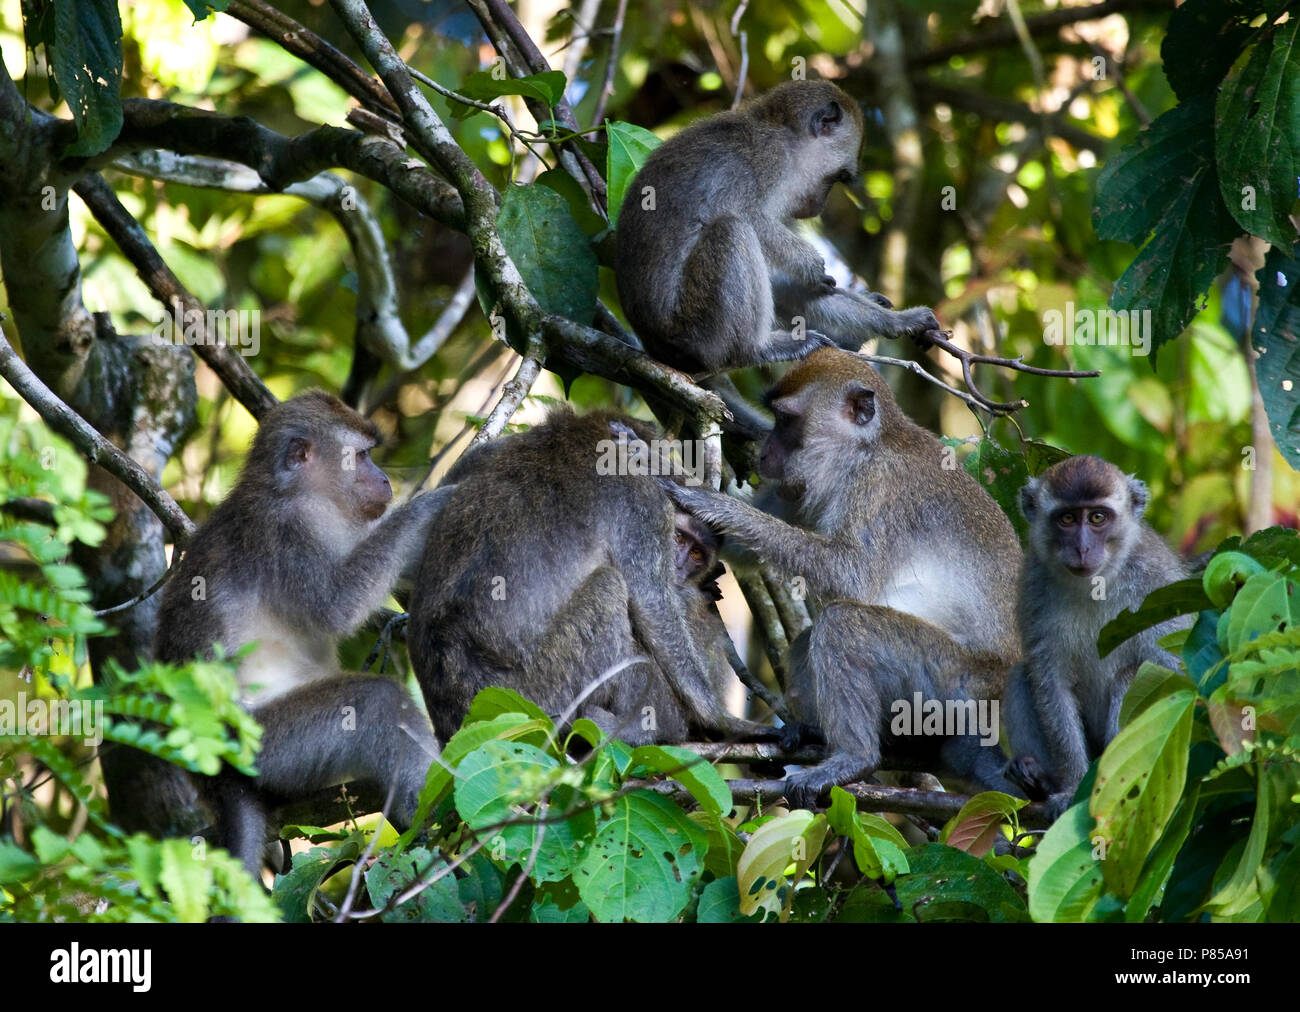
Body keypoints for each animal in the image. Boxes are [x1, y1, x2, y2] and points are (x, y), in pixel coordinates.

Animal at [150, 390, 446, 877]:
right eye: (362, 456)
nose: (385, 479)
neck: (296, 492)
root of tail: (214, 780)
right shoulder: (288, 531)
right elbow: (336, 606)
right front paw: (434, 503)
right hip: (269, 748)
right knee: (373, 702)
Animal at [407, 410, 770, 747]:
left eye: (696, 554)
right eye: (678, 539)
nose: (680, 565)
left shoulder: (497, 448)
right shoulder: (640, 500)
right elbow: (653, 604)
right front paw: (721, 719)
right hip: (542, 691)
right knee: (609, 587)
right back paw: (648, 729)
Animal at [614, 80, 940, 375]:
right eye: (838, 177)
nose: (819, 206)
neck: (782, 134)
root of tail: (659, 349)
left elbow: (795, 287)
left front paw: (893, 320)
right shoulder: (769, 160)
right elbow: (745, 213)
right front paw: (810, 264)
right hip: (694, 327)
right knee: (732, 228)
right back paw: (755, 349)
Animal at [660, 347, 1026, 808]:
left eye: (787, 421)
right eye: (774, 420)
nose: (764, 454)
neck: (864, 452)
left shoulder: (879, 489)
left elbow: (849, 576)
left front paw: (711, 502)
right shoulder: (801, 487)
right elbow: (746, 548)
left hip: (948, 683)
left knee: (843, 624)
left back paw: (854, 758)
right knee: (806, 641)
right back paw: (811, 731)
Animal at [1002, 455, 1190, 814]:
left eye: (1098, 517)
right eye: (1067, 518)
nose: (1082, 548)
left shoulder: (1154, 582)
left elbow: (1177, 668)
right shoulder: (1034, 586)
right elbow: (1050, 681)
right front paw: (1071, 786)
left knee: (1133, 675)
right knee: (1020, 675)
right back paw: (1039, 778)